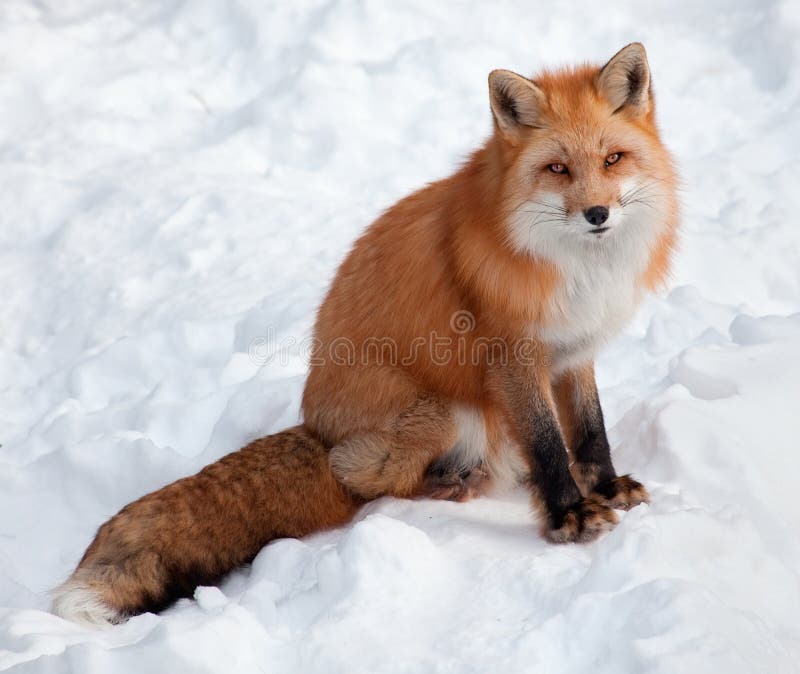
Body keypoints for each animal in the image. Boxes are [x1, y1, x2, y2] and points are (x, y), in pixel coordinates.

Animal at [53, 42, 678, 626]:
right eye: (557, 169)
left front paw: (606, 488)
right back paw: (454, 482)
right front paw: (568, 516)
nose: (597, 213)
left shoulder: (574, 351)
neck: (576, 270)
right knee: (366, 479)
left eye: (613, 159)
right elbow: (548, 443)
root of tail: (317, 427)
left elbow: (590, 430)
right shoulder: (513, 357)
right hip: (442, 413)